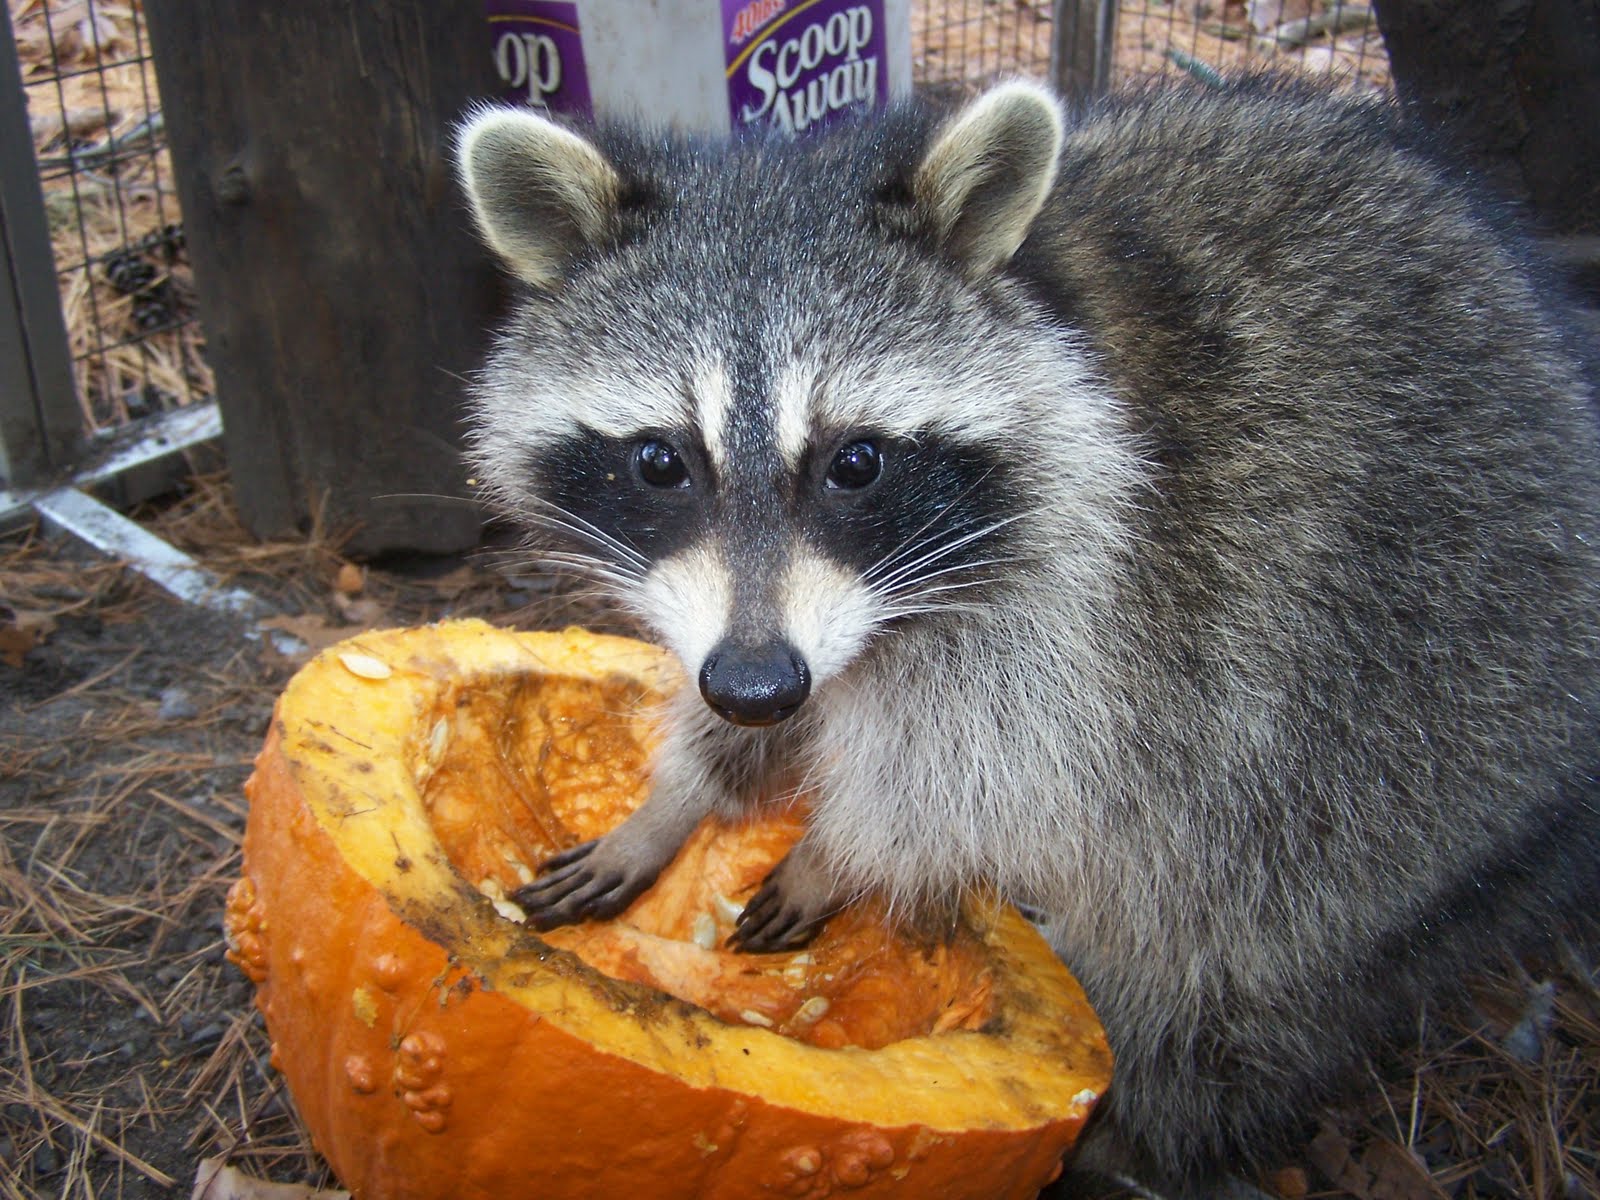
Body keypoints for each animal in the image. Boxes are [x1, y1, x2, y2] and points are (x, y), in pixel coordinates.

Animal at [455, 77, 1600, 1195]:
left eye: (856, 463)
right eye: (661, 463)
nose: (755, 689)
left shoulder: (1116, 593)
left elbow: (1001, 768)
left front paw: (848, 849)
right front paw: (683, 793)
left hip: (1406, 791)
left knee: (1223, 968)